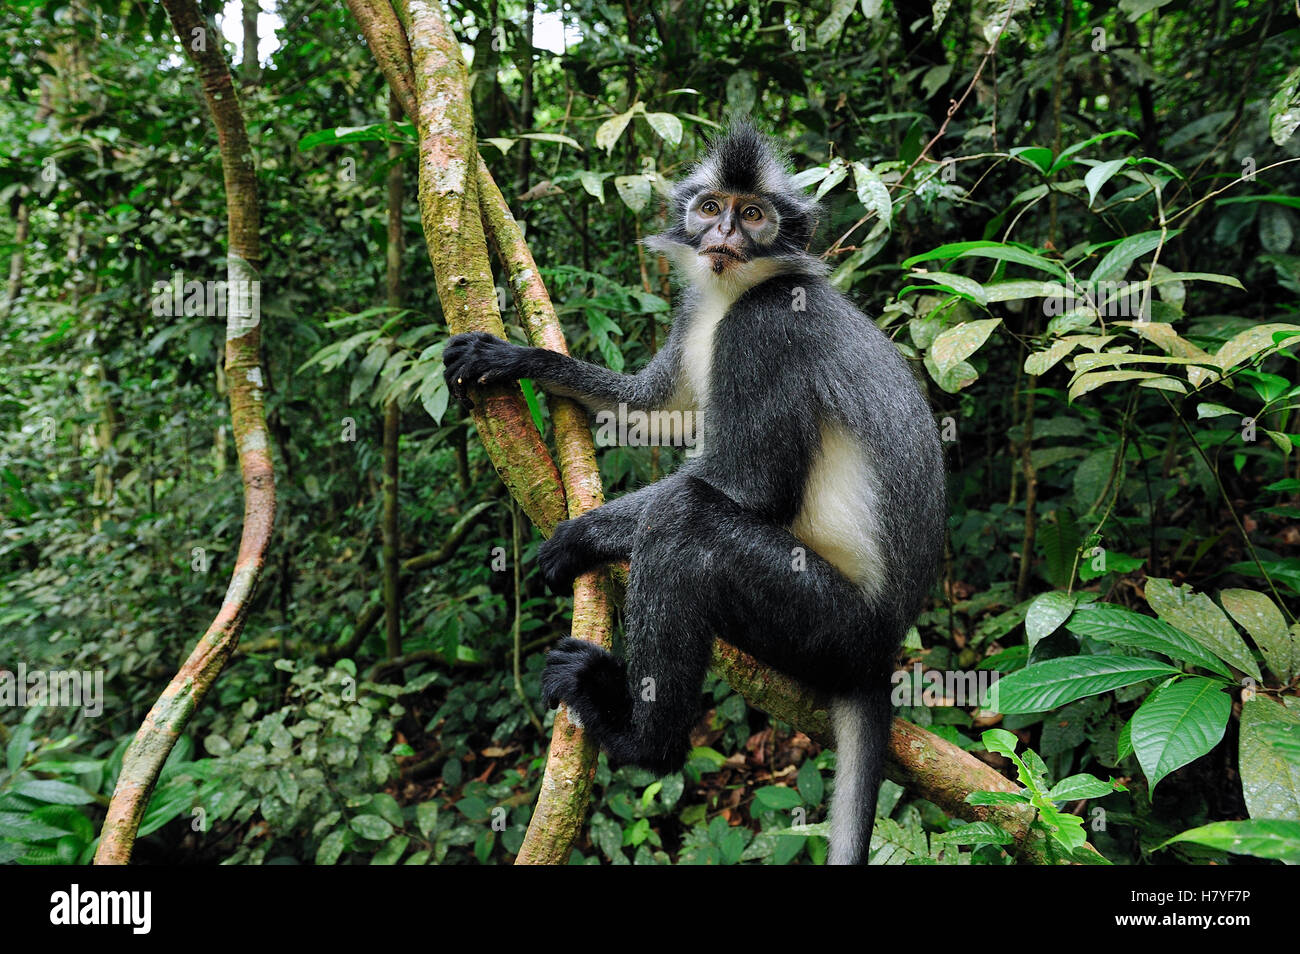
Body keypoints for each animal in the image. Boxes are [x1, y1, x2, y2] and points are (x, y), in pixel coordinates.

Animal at [442, 122, 946, 865]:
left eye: (755, 214)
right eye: (711, 208)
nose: (725, 234)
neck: (734, 291)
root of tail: (883, 648)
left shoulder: (766, 329)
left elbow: (750, 489)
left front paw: (584, 534)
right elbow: (656, 406)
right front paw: (515, 359)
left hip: (830, 622)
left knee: (685, 525)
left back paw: (642, 739)